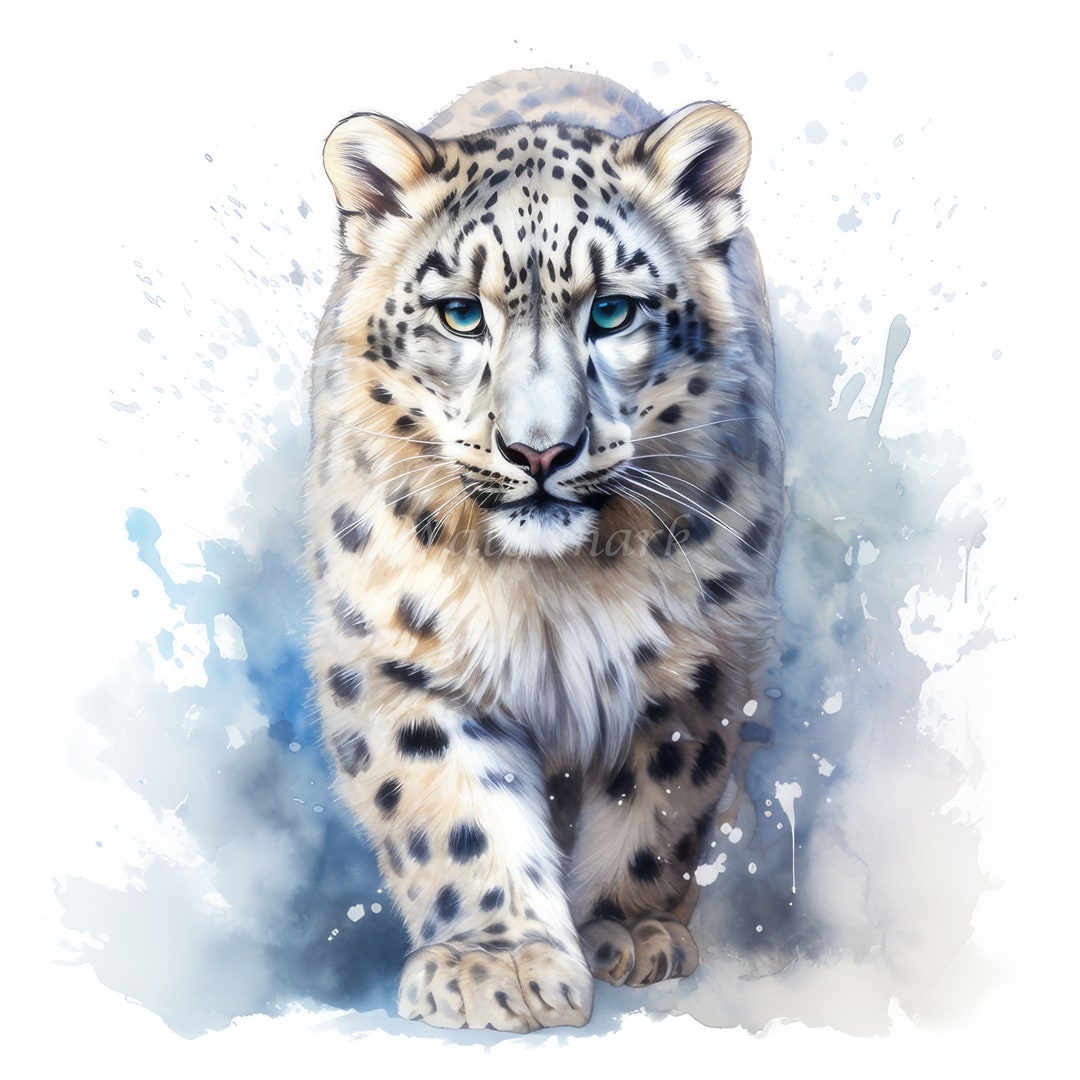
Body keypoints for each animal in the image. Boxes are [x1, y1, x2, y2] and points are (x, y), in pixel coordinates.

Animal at [304, 68, 783, 1032]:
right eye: (460, 315)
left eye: (613, 311)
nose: (539, 452)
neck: (551, 593)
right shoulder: (396, 652)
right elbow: (453, 811)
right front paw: (498, 964)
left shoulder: (700, 653)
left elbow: (660, 803)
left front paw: (626, 932)